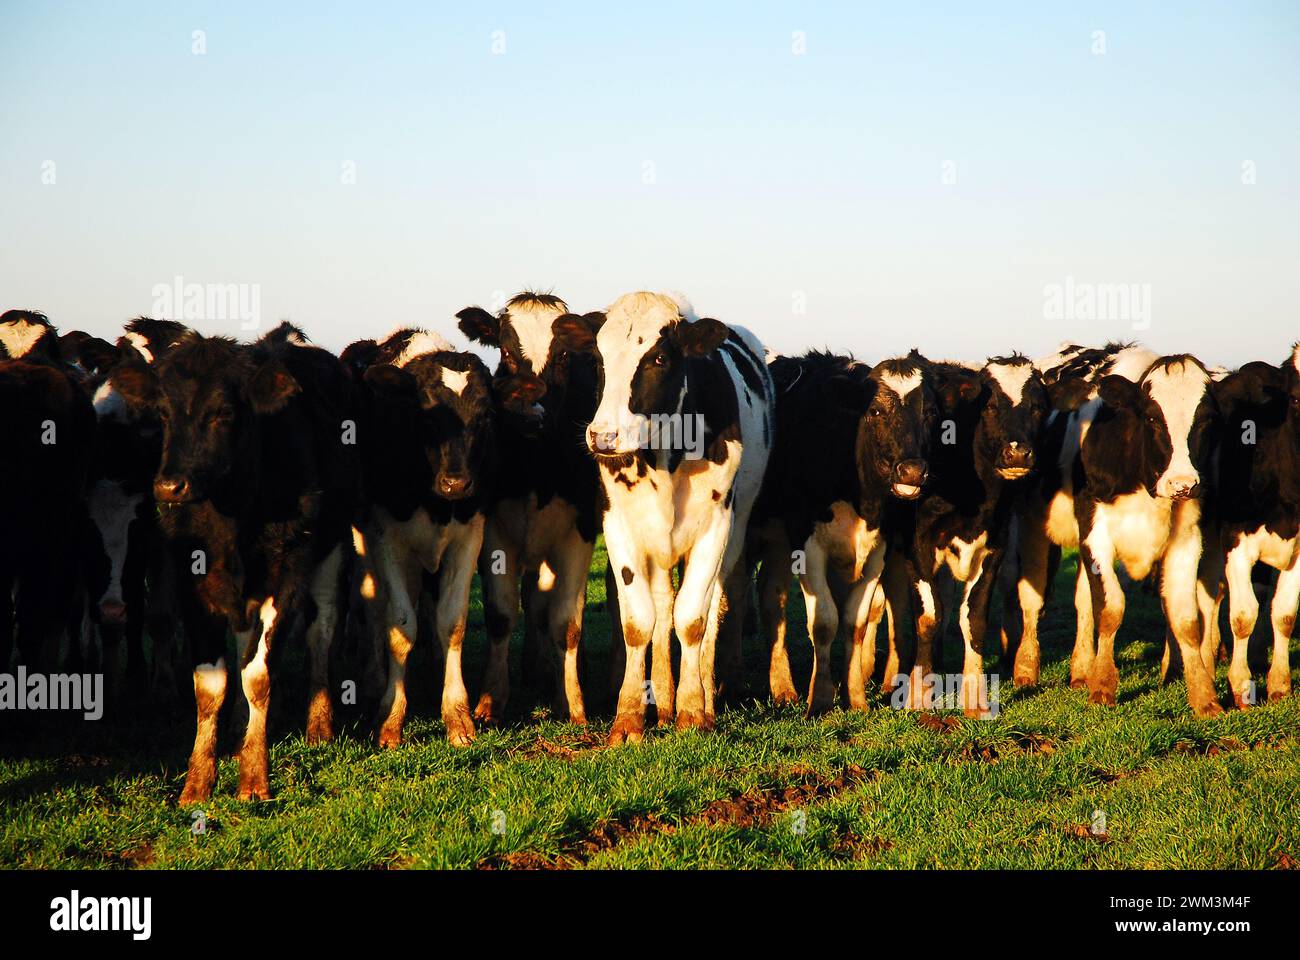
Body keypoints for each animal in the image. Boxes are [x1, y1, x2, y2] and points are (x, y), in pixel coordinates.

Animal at [111, 322, 359, 802]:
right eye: (164, 413)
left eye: (223, 412)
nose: (169, 486)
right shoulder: (193, 584)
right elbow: (213, 685)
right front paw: (198, 780)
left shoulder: (287, 579)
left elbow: (259, 676)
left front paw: (255, 776)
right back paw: (238, 731)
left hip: (332, 550)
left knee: (321, 631)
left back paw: (319, 724)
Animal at [350, 327, 543, 747]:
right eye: (425, 416)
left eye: (485, 417)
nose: (456, 484)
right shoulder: (386, 539)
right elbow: (400, 625)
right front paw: (390, 717)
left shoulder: (469, 536)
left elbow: (451, 621)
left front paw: (457, 714)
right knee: (374, 609)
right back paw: (373, 680)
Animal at [455, 292, 602, 725]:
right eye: (505, 351)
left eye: (564, 356)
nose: (531, 415)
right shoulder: (494, 531)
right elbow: (502, 615)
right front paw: (490, 700)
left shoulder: (579, 532)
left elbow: (566, 622)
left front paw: (573, 702)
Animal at [555, 291, 773, 743]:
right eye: (599, 360)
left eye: (658, 358)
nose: (603, 436)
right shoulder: (618, 524)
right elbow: (640, 621)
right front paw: (629, 718)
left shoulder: (716, 527)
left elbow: (692, 618)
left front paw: (692, 711)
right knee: (661, 605)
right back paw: (664, 697)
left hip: (734, 534)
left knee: (714, 605)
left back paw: (703, 697)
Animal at [750, 350, 940, 714]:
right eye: (876, 411)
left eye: (930, 413)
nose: (912, 471)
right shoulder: (808, 544)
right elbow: (825, 620)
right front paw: (821, 699)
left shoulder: (877, 550)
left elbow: (855, 621)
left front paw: (855, 696)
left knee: (770, 597)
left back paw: (783, 688)